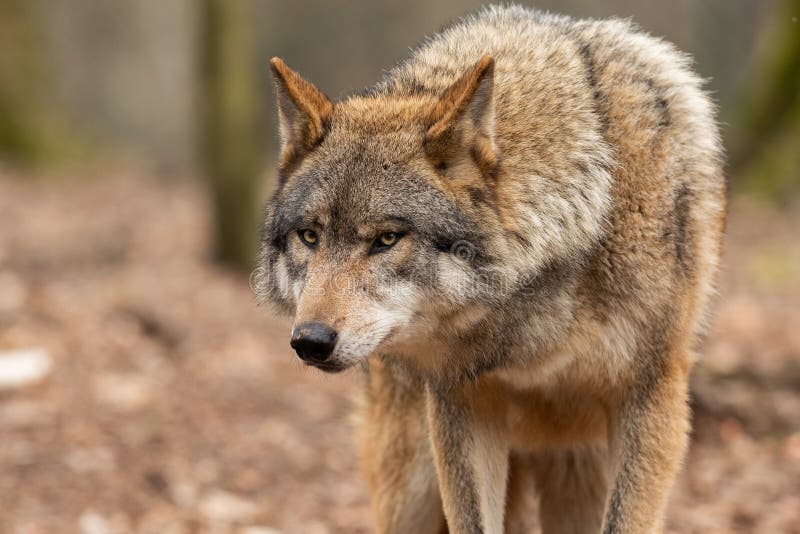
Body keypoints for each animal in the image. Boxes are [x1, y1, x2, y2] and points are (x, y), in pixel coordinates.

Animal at [254, 5, 725, 533]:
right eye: (309, 236)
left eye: (387, 239)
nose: (310, 341)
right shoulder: (460, 400)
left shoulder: (652, 396)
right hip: (413, 488)